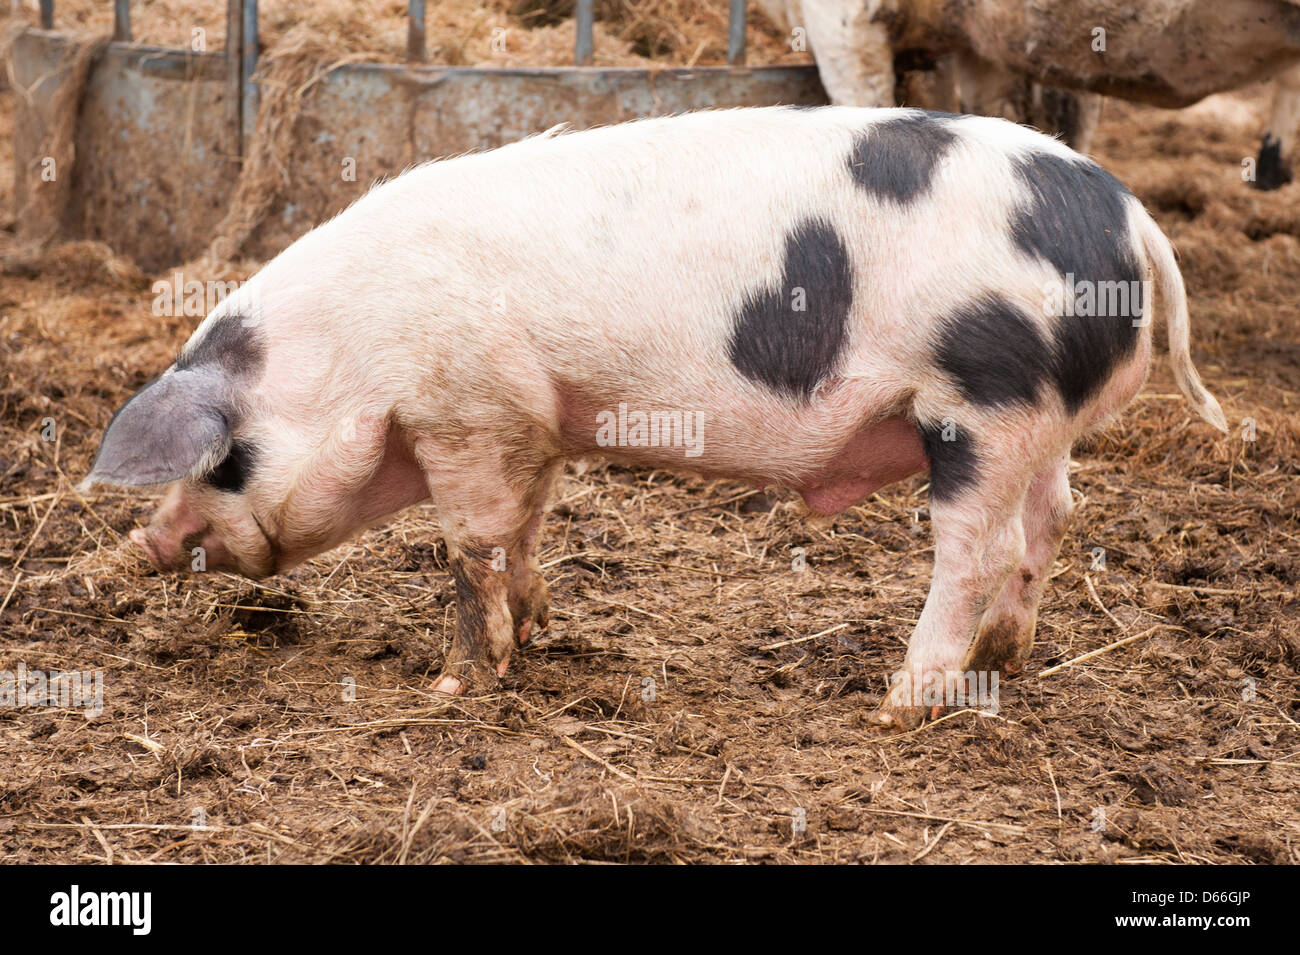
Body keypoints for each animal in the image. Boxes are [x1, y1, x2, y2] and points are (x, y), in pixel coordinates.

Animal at [82, 107, 1227, 730]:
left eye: (225, 461)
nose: (149, 542)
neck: (351, 351)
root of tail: (1134, 223)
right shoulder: (529, 415)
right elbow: (527, 527)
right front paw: (540, 628)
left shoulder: (463, 407)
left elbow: (468, 544)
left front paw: (454, 685)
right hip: (1042, 420)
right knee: (1052, 517)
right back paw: (1005, 659)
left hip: (984, 399)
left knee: (971, 547)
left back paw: (899, 703)